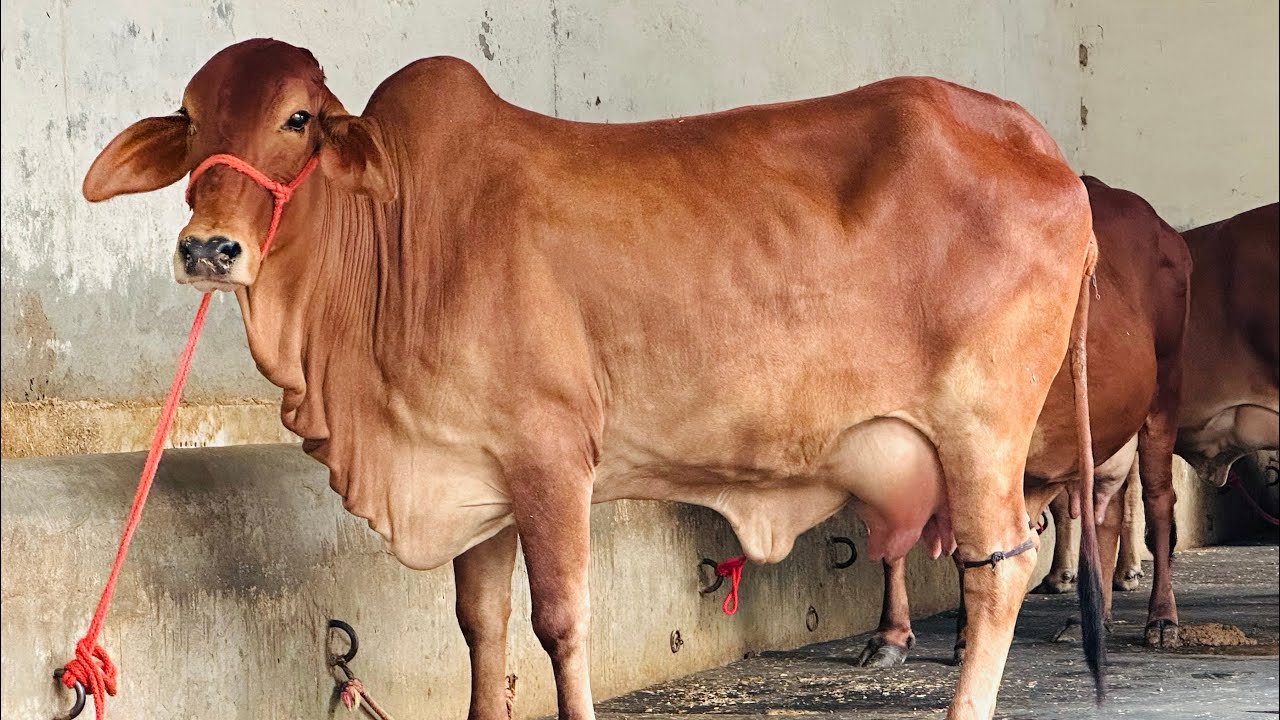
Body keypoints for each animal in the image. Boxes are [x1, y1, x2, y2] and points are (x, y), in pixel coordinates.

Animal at [81, 39, 1101, 719]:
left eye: (297, 118)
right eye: (190, 120)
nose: (209, 248)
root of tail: (1039, 145)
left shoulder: (551, 456)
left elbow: (561, 623)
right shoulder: (476, 474)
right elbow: (482, 628)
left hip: (980, 432)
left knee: (1000, 574)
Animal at [857, 176, 1191, 666]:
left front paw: (965, 637)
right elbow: (891, 544)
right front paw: (891, 635)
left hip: (1163, 394)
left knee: (1159, 502)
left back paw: (1162, 618)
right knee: (1104, 511)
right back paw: (1089, 620)